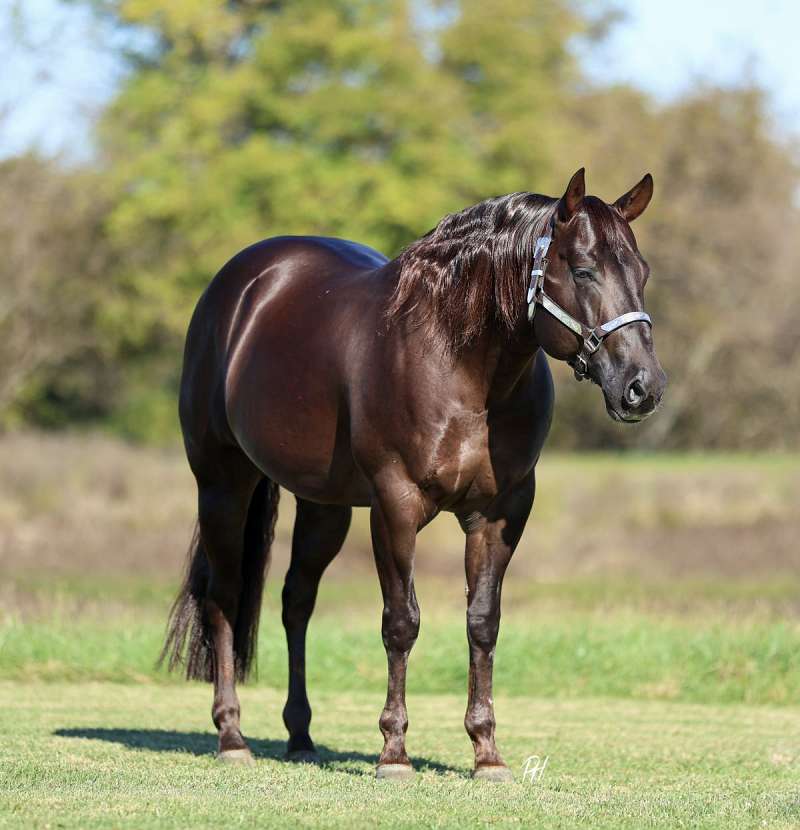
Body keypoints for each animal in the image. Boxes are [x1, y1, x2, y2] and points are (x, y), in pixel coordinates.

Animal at [161, 168, 666, 780]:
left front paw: (486, 752)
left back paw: (300, 735)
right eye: (584, 269)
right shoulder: (395, 505)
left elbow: (482, 622)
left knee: (296, 601)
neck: (458, 364)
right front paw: (393, 752)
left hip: (324, 506)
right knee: (224, 597)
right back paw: (232, 735)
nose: (643, 387)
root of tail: (240, 287)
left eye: (641, 272)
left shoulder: (500, 513)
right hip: (222, 485)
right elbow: (401, 621)